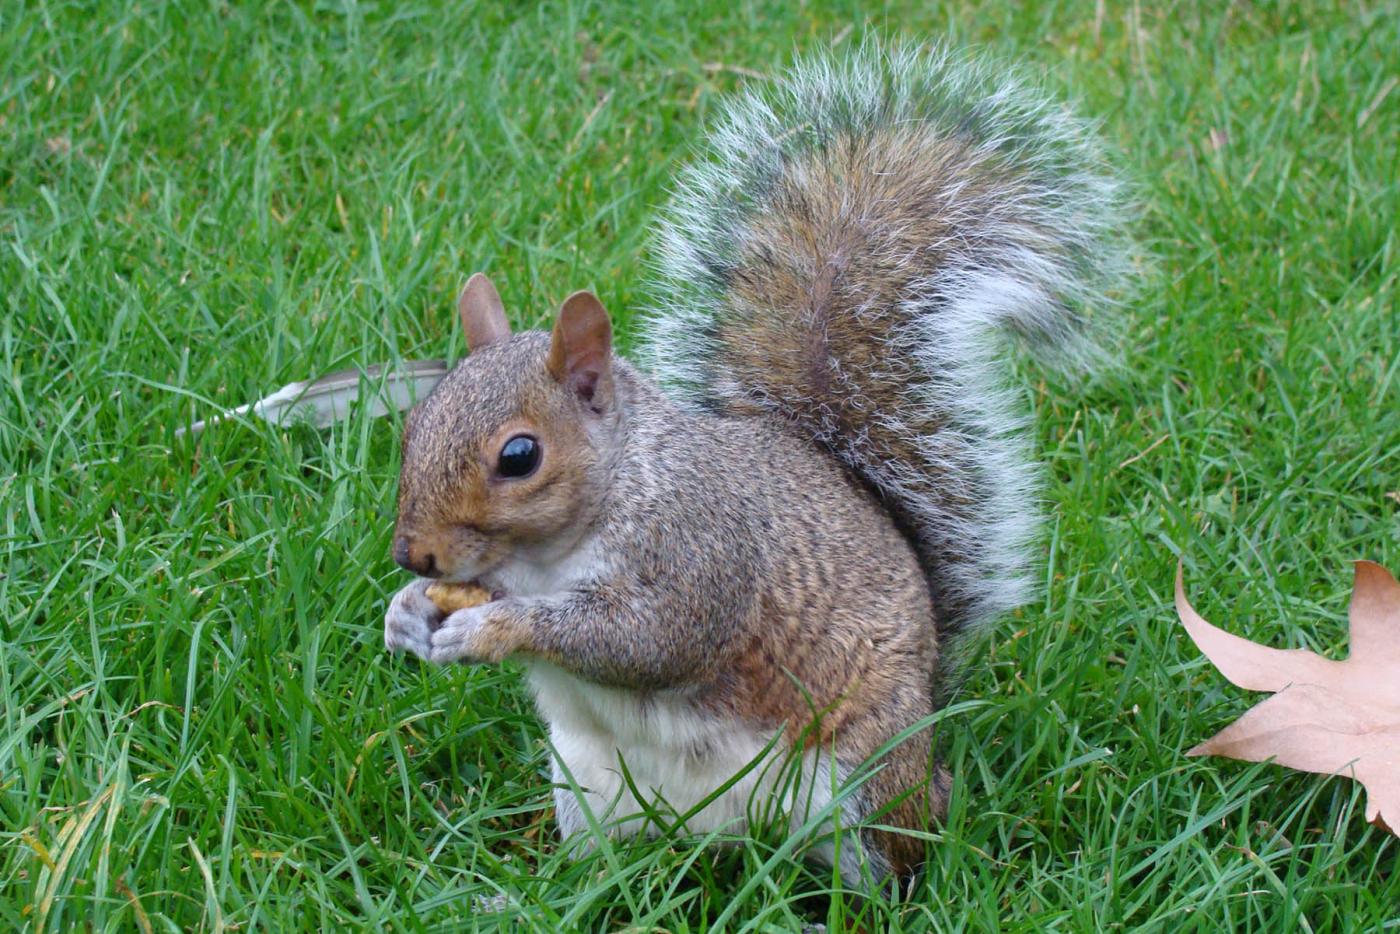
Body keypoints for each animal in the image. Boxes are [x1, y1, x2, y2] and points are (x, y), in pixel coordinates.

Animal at [384, 42, 1126, 882]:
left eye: (519, 456)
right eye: (414, 422)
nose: (412, 555)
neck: (550, 552)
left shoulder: (702, 555)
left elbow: (645, 639)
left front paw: (493, 628)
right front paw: (405, 614)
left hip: (865, 784)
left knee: (894, 863)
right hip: (588, 791)